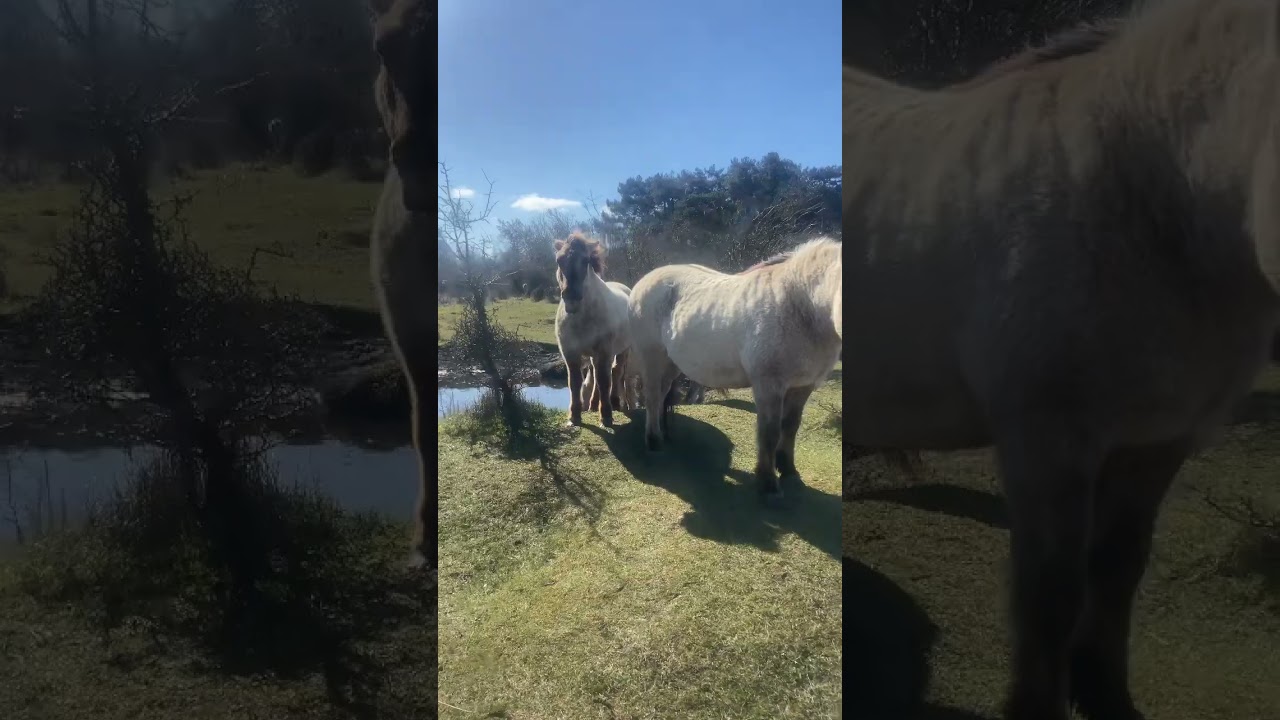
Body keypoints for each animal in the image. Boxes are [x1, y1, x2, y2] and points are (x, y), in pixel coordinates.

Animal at [554, 231, 634, 427]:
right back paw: (593, 404)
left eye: (585, 261)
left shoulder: (604, 351)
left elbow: (605, 381)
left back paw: (614, 402)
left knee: (615, 372)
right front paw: (574, 416)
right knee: (597, 375)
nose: (571, 298)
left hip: (623, 350)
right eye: (559, 260)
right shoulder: (570, 353)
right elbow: (575, 382)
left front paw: (606, 417)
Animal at [628, 237, 843, 497]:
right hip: (652, 358)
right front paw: (767, 482)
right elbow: (769, 432)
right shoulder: (768, 385)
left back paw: (661, 435)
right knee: (651, 398)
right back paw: (654, 441)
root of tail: (643, 282)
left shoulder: (803, 386)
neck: (799, 305)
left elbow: (790, 426)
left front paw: (788, 469)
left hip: (671, 364)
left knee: (660, 396)